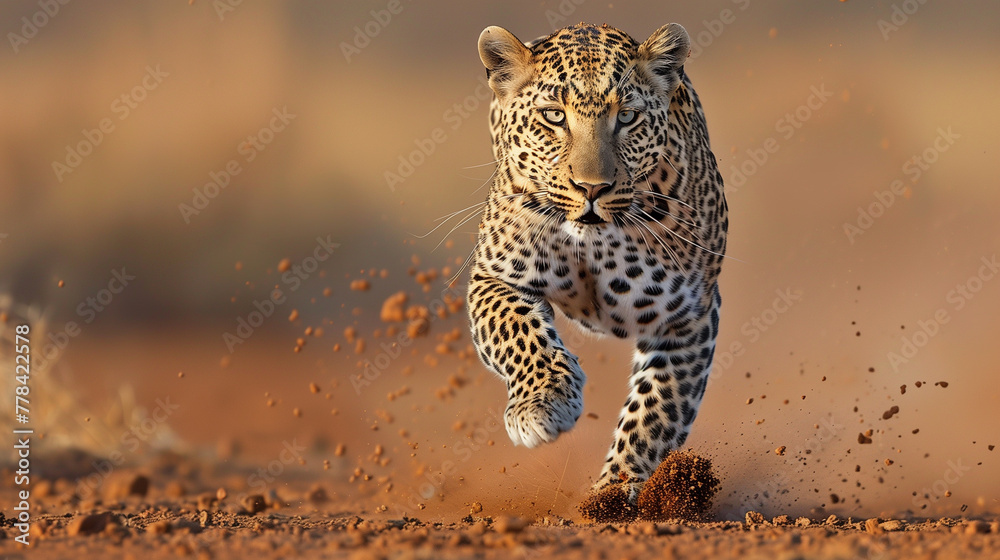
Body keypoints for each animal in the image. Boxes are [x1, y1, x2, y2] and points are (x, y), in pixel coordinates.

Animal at [466, 22, 729, 507]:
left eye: (626, 118)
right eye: (554, 116)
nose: (591, 188)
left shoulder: (688, 315)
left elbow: (657, 406)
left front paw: (614, 495)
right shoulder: (493, 276)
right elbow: (517, 331)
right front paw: (541, 405)